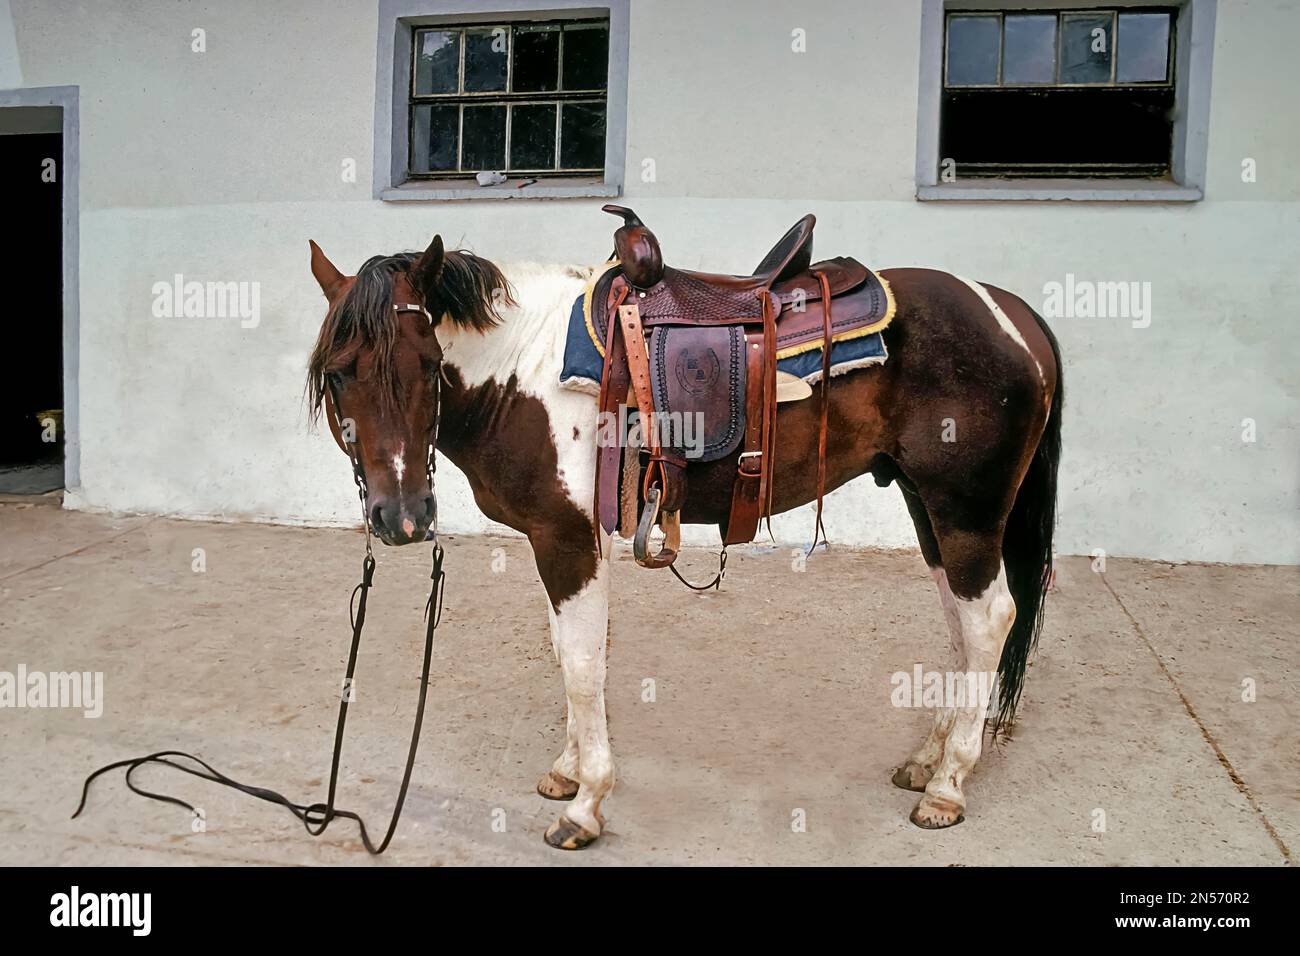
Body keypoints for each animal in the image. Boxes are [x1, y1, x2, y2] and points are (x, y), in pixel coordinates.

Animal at [305, 228, 1063, 850]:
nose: (401, 518)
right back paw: (927, 761)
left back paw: (948, 788)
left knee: (988, 620)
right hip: (927, 506)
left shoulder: (566, 537)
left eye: (426, 363)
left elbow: (582, 664)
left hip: (965, 509)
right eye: (338, 374)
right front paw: (567, 772)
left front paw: (585, 805)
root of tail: (1010, 311)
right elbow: (570, 653)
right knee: (962, 626)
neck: (522, 368)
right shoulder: (568, 539)